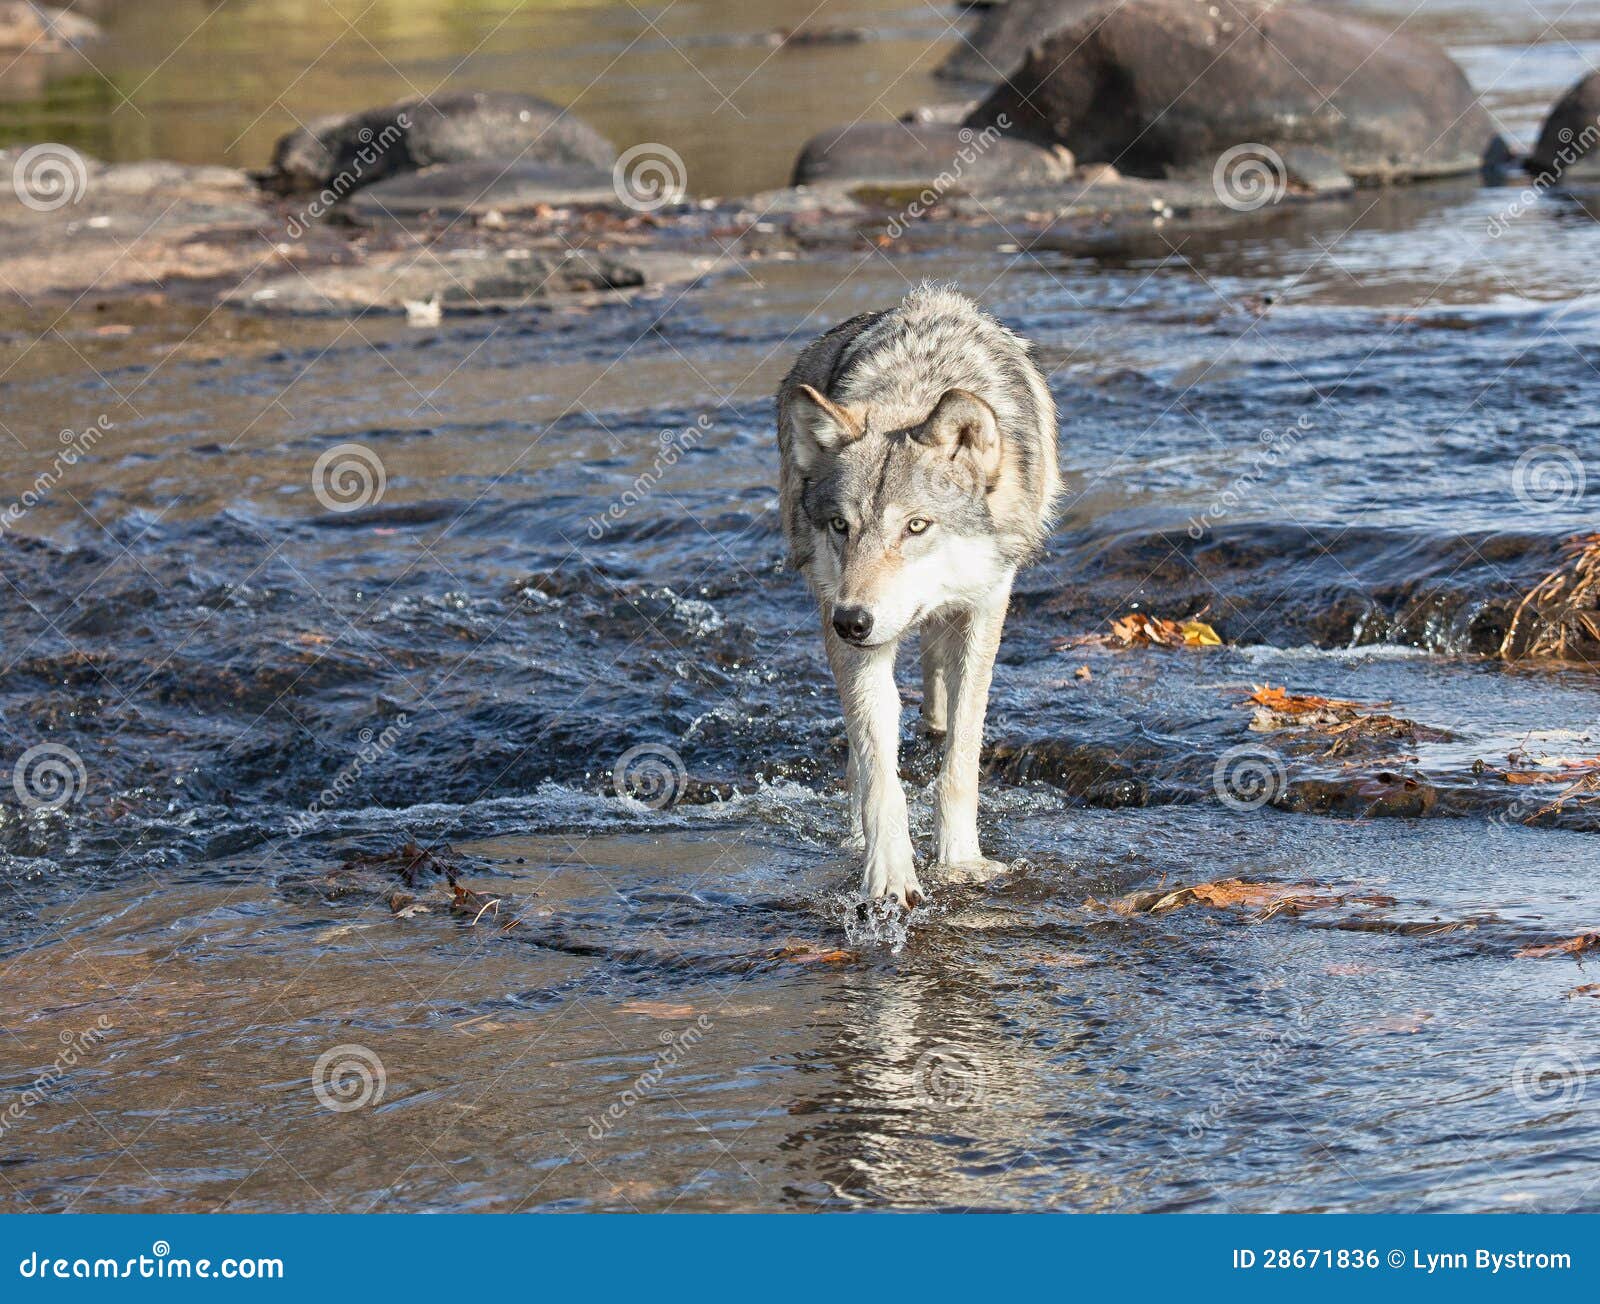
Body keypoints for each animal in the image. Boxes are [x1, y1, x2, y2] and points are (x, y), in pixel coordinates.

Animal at [776, 284, 1060, 908]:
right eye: (841, 526)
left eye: (916, 526)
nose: (853, 622)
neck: (914, 389)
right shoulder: (846, 628)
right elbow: (880, 769)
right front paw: (887, 874)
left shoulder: (986, 605)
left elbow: (961, 760)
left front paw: (960, 862)